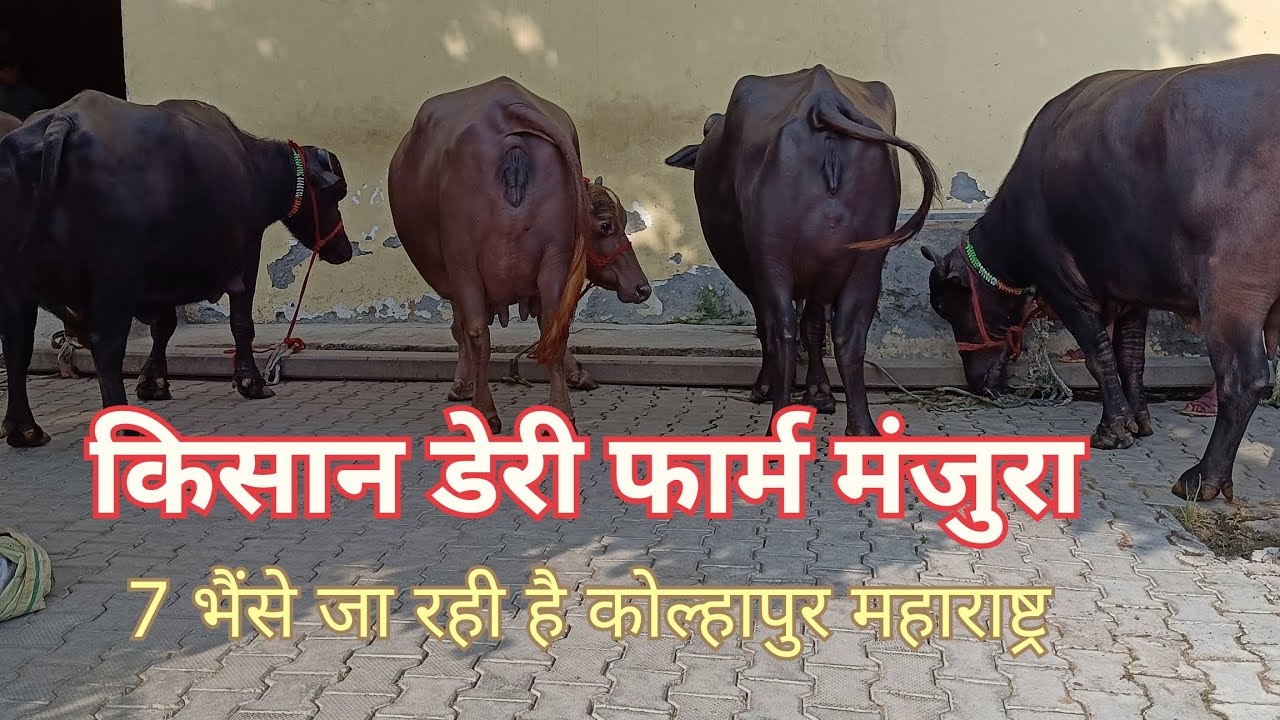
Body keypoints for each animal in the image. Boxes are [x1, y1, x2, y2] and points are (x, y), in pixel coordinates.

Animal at [0, 90, 353, 447]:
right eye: (337, 193)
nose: (345, 249)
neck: (253, 168)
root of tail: (61, 122)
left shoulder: (161, 279)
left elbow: (164, 327)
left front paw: (152, 383)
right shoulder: (247, 256)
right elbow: (241, 323)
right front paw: (252, 383)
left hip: (15, 283)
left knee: (17, 343)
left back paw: (24, 429)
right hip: (115, 278)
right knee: (106, 344)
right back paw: (120, 424)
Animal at [388, 76, 651, 432]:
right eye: (607, 225)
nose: (643, 288)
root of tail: (507, 107)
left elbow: (463, 329)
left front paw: (462, 386)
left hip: (464, 259)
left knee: (478, 332)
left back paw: (485, 411)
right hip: (552, 256)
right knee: (553, 327)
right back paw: (561, 411)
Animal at [666, 65, 938, 435]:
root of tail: (823, 103)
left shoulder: (754, 273)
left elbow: (773, 325)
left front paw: (770, 388)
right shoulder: (822, 277)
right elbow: (814, 325)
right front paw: (820, 394)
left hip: (772, 255)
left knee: (781, 328)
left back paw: (776, 419)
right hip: (867, 261)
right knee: (848, 333)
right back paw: (861, 428)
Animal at [923, 54, 1280, 502]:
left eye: (944, 305)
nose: (974, 382)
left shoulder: (1064, 286)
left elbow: (1098, 354)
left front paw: (1113, 430)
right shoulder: (1134, 293)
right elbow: (1131, 357)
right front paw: (1139, 421)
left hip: (1231, 298)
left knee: (1243, 379)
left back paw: (1202, 478)